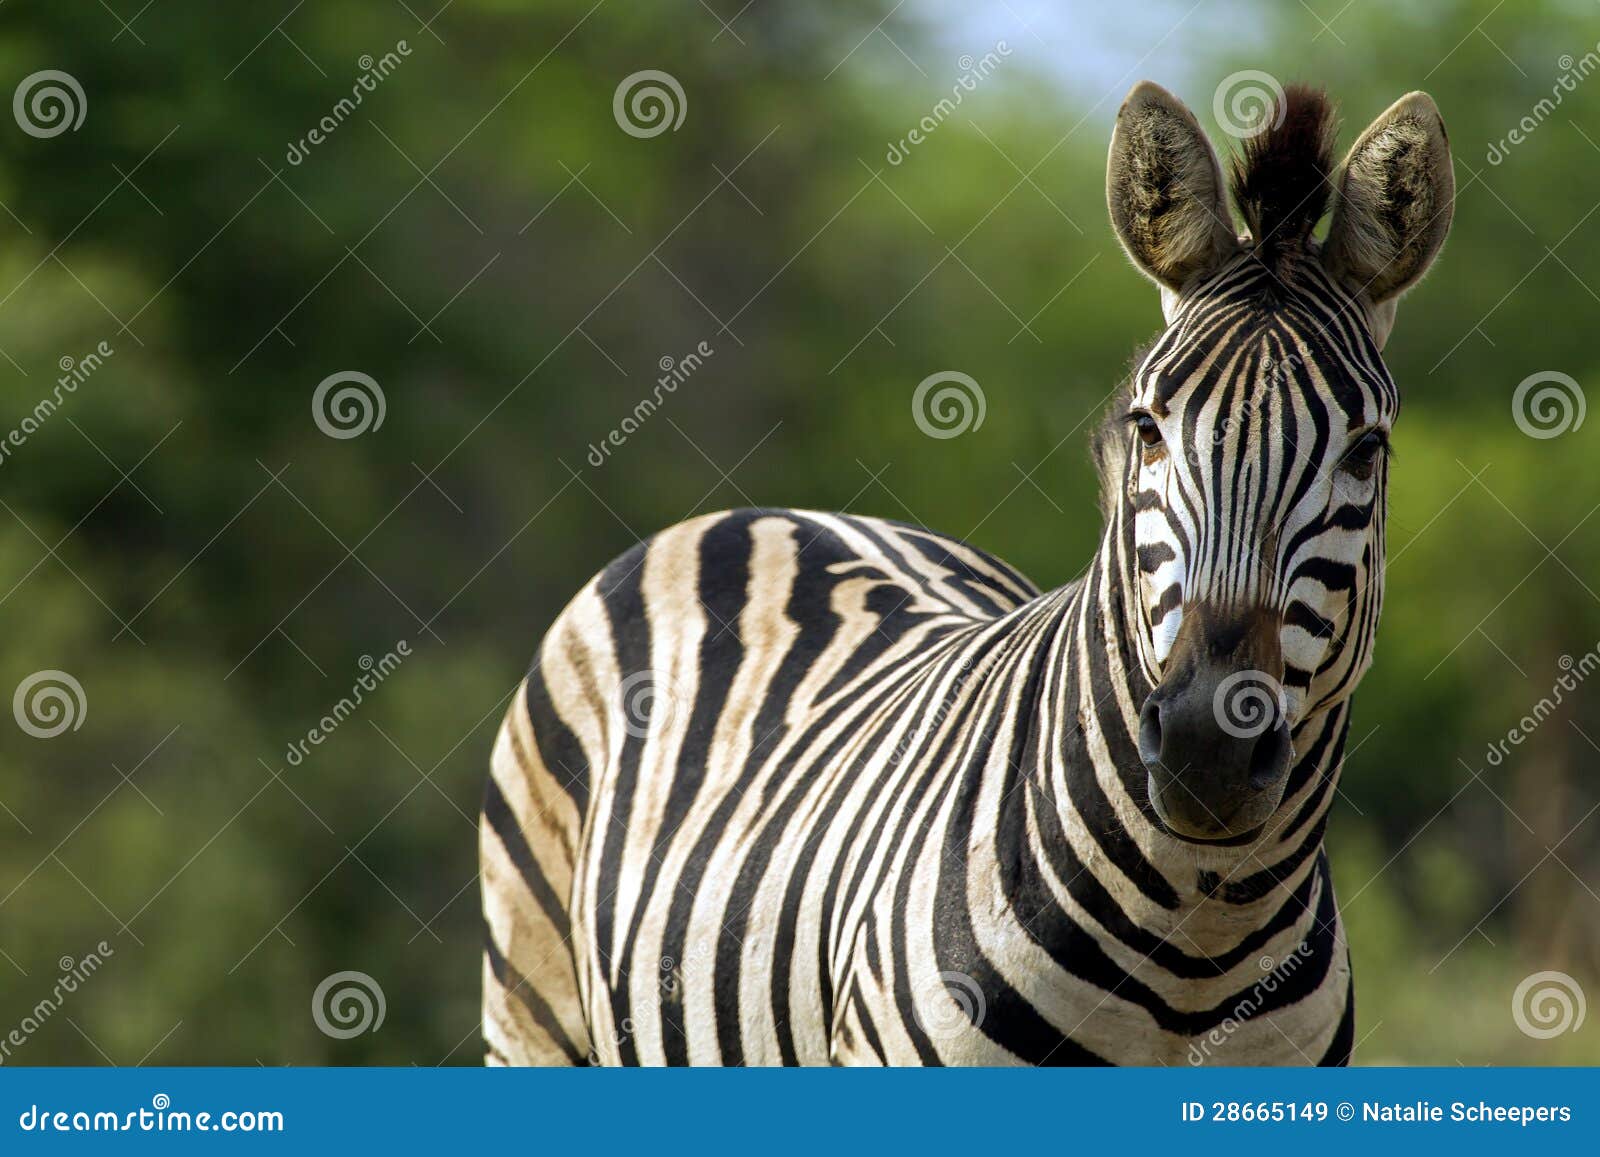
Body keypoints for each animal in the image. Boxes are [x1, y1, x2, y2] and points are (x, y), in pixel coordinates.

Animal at [480, 80, 1453, 1066]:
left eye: (1367, 452)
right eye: (1147, 429)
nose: (1205, 750)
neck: (1198, 935)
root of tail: (769, 513)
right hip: (529, 1011)